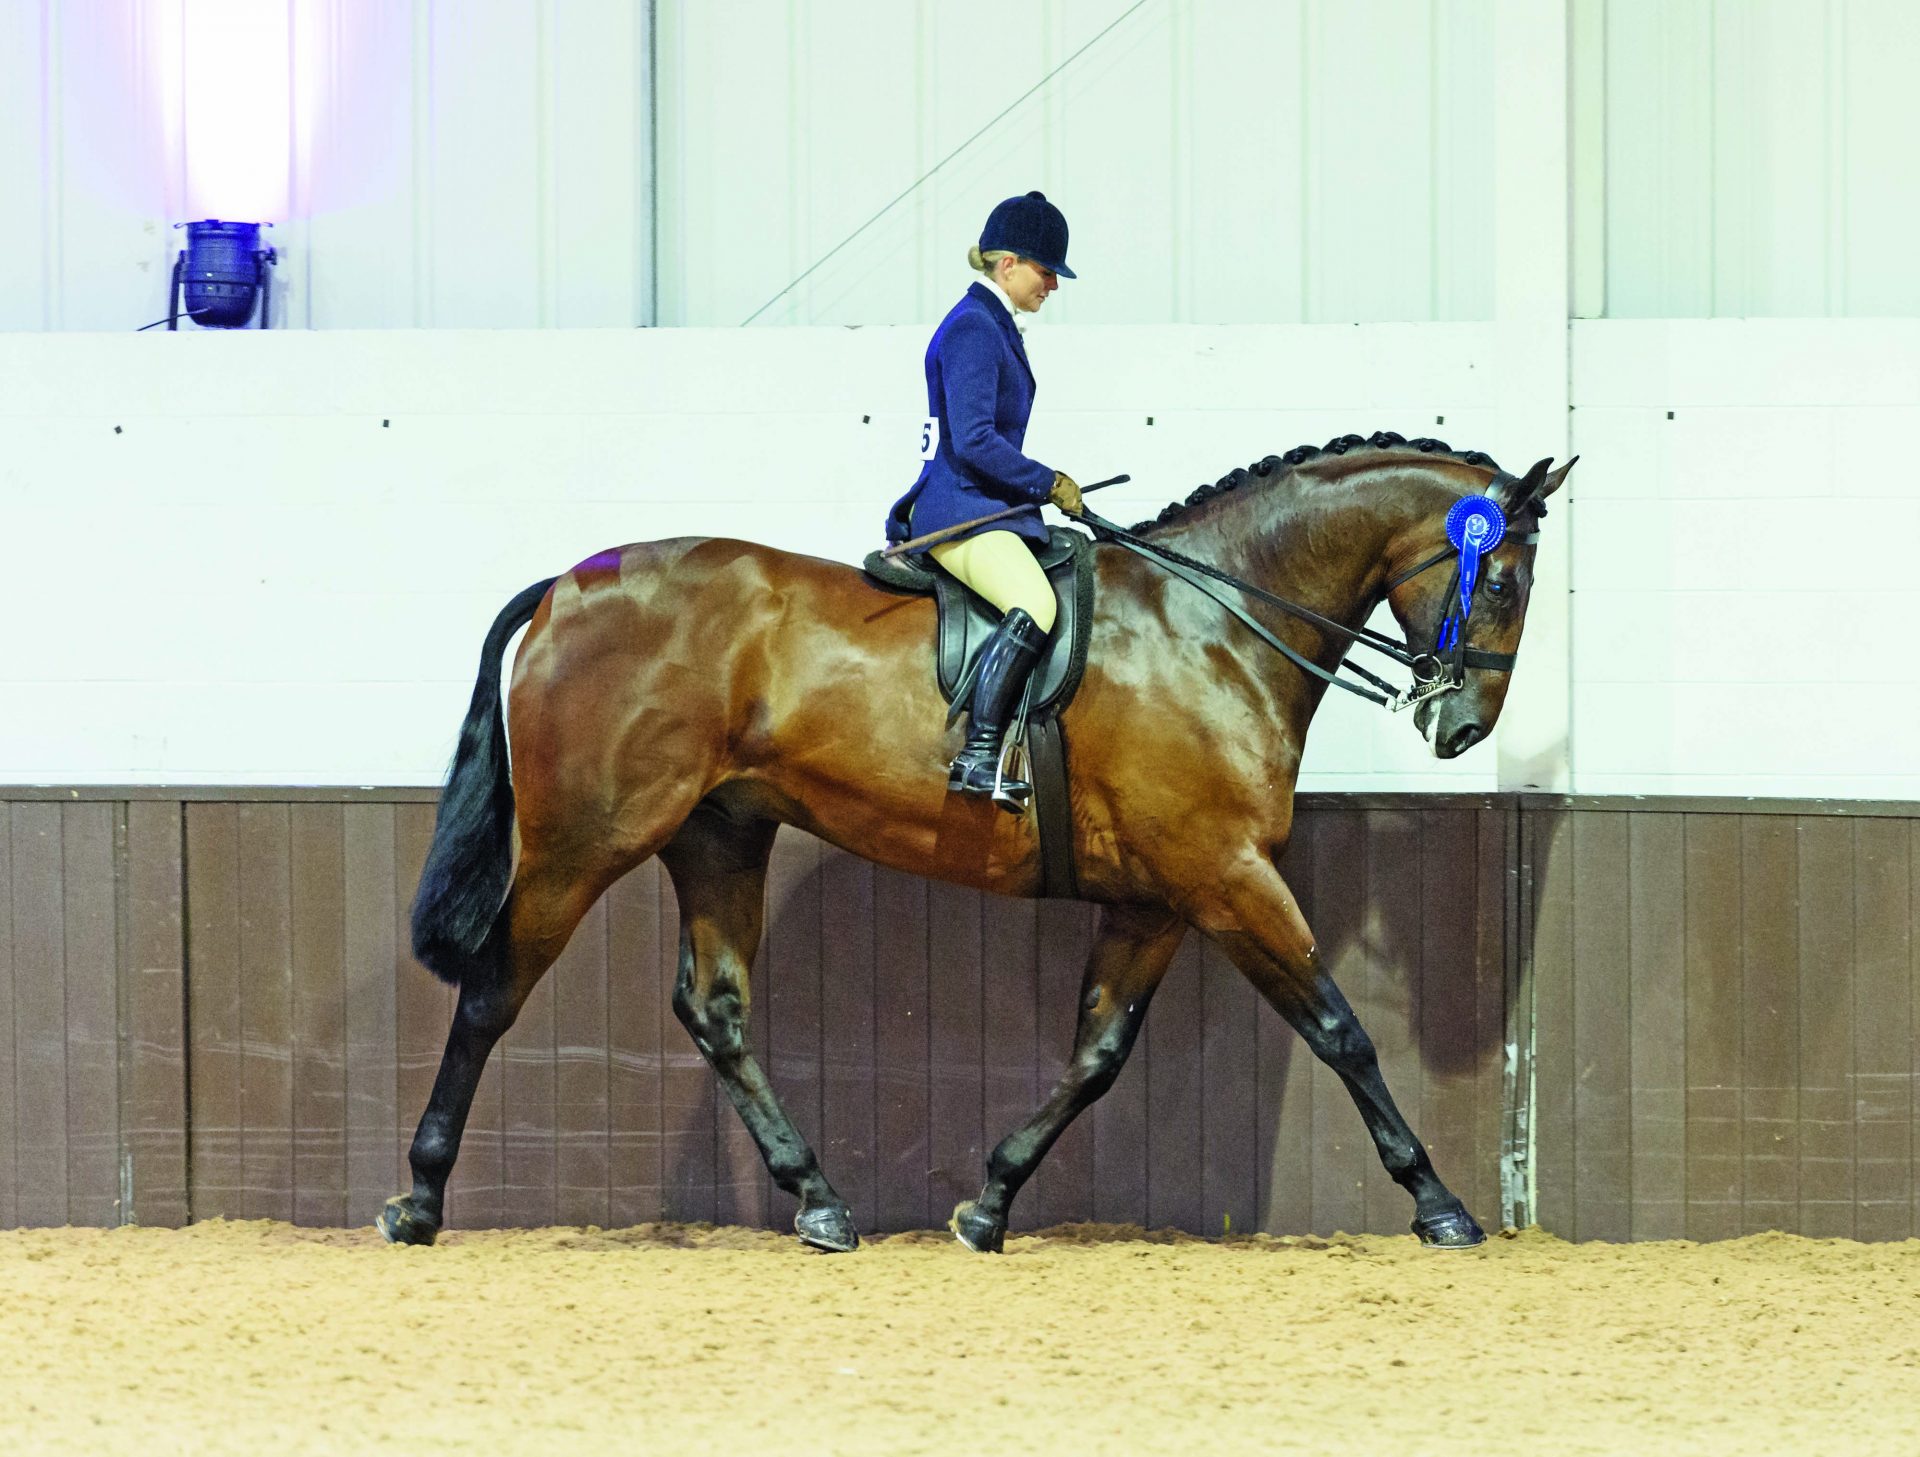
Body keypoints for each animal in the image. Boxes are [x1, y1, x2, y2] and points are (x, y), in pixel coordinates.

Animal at [378, 431, 1572, 1255]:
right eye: (1506, 580)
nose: (1462, 729)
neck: (1212, 626)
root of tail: (570, 585)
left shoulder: (1158, 897)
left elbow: (1096, 1053)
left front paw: (987, 1202)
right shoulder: (1228, 876)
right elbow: (1340, 1030)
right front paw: (1441, 1204)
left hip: (721, 836)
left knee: (714, 1011)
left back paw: (821, 1203)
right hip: (582, 844)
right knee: (492, 991)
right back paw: (418, 1198)